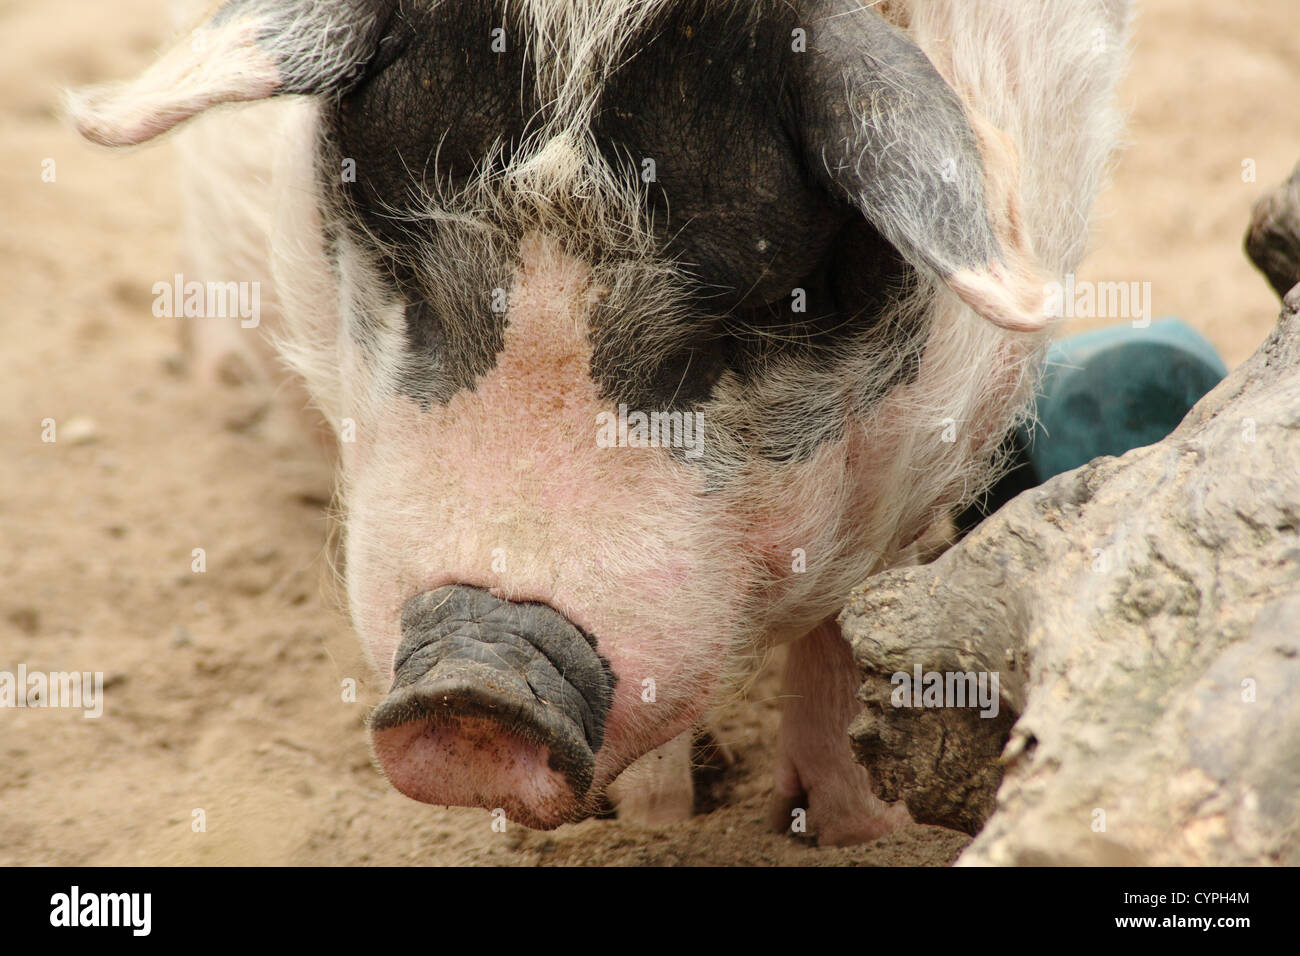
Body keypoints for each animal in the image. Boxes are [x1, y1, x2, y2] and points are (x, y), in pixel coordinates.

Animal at [69, 0, 1130, 844]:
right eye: (407, 269)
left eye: (743, 316)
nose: (479, 685)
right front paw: (646, 827)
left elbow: (856, 615)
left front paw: (862, 833)